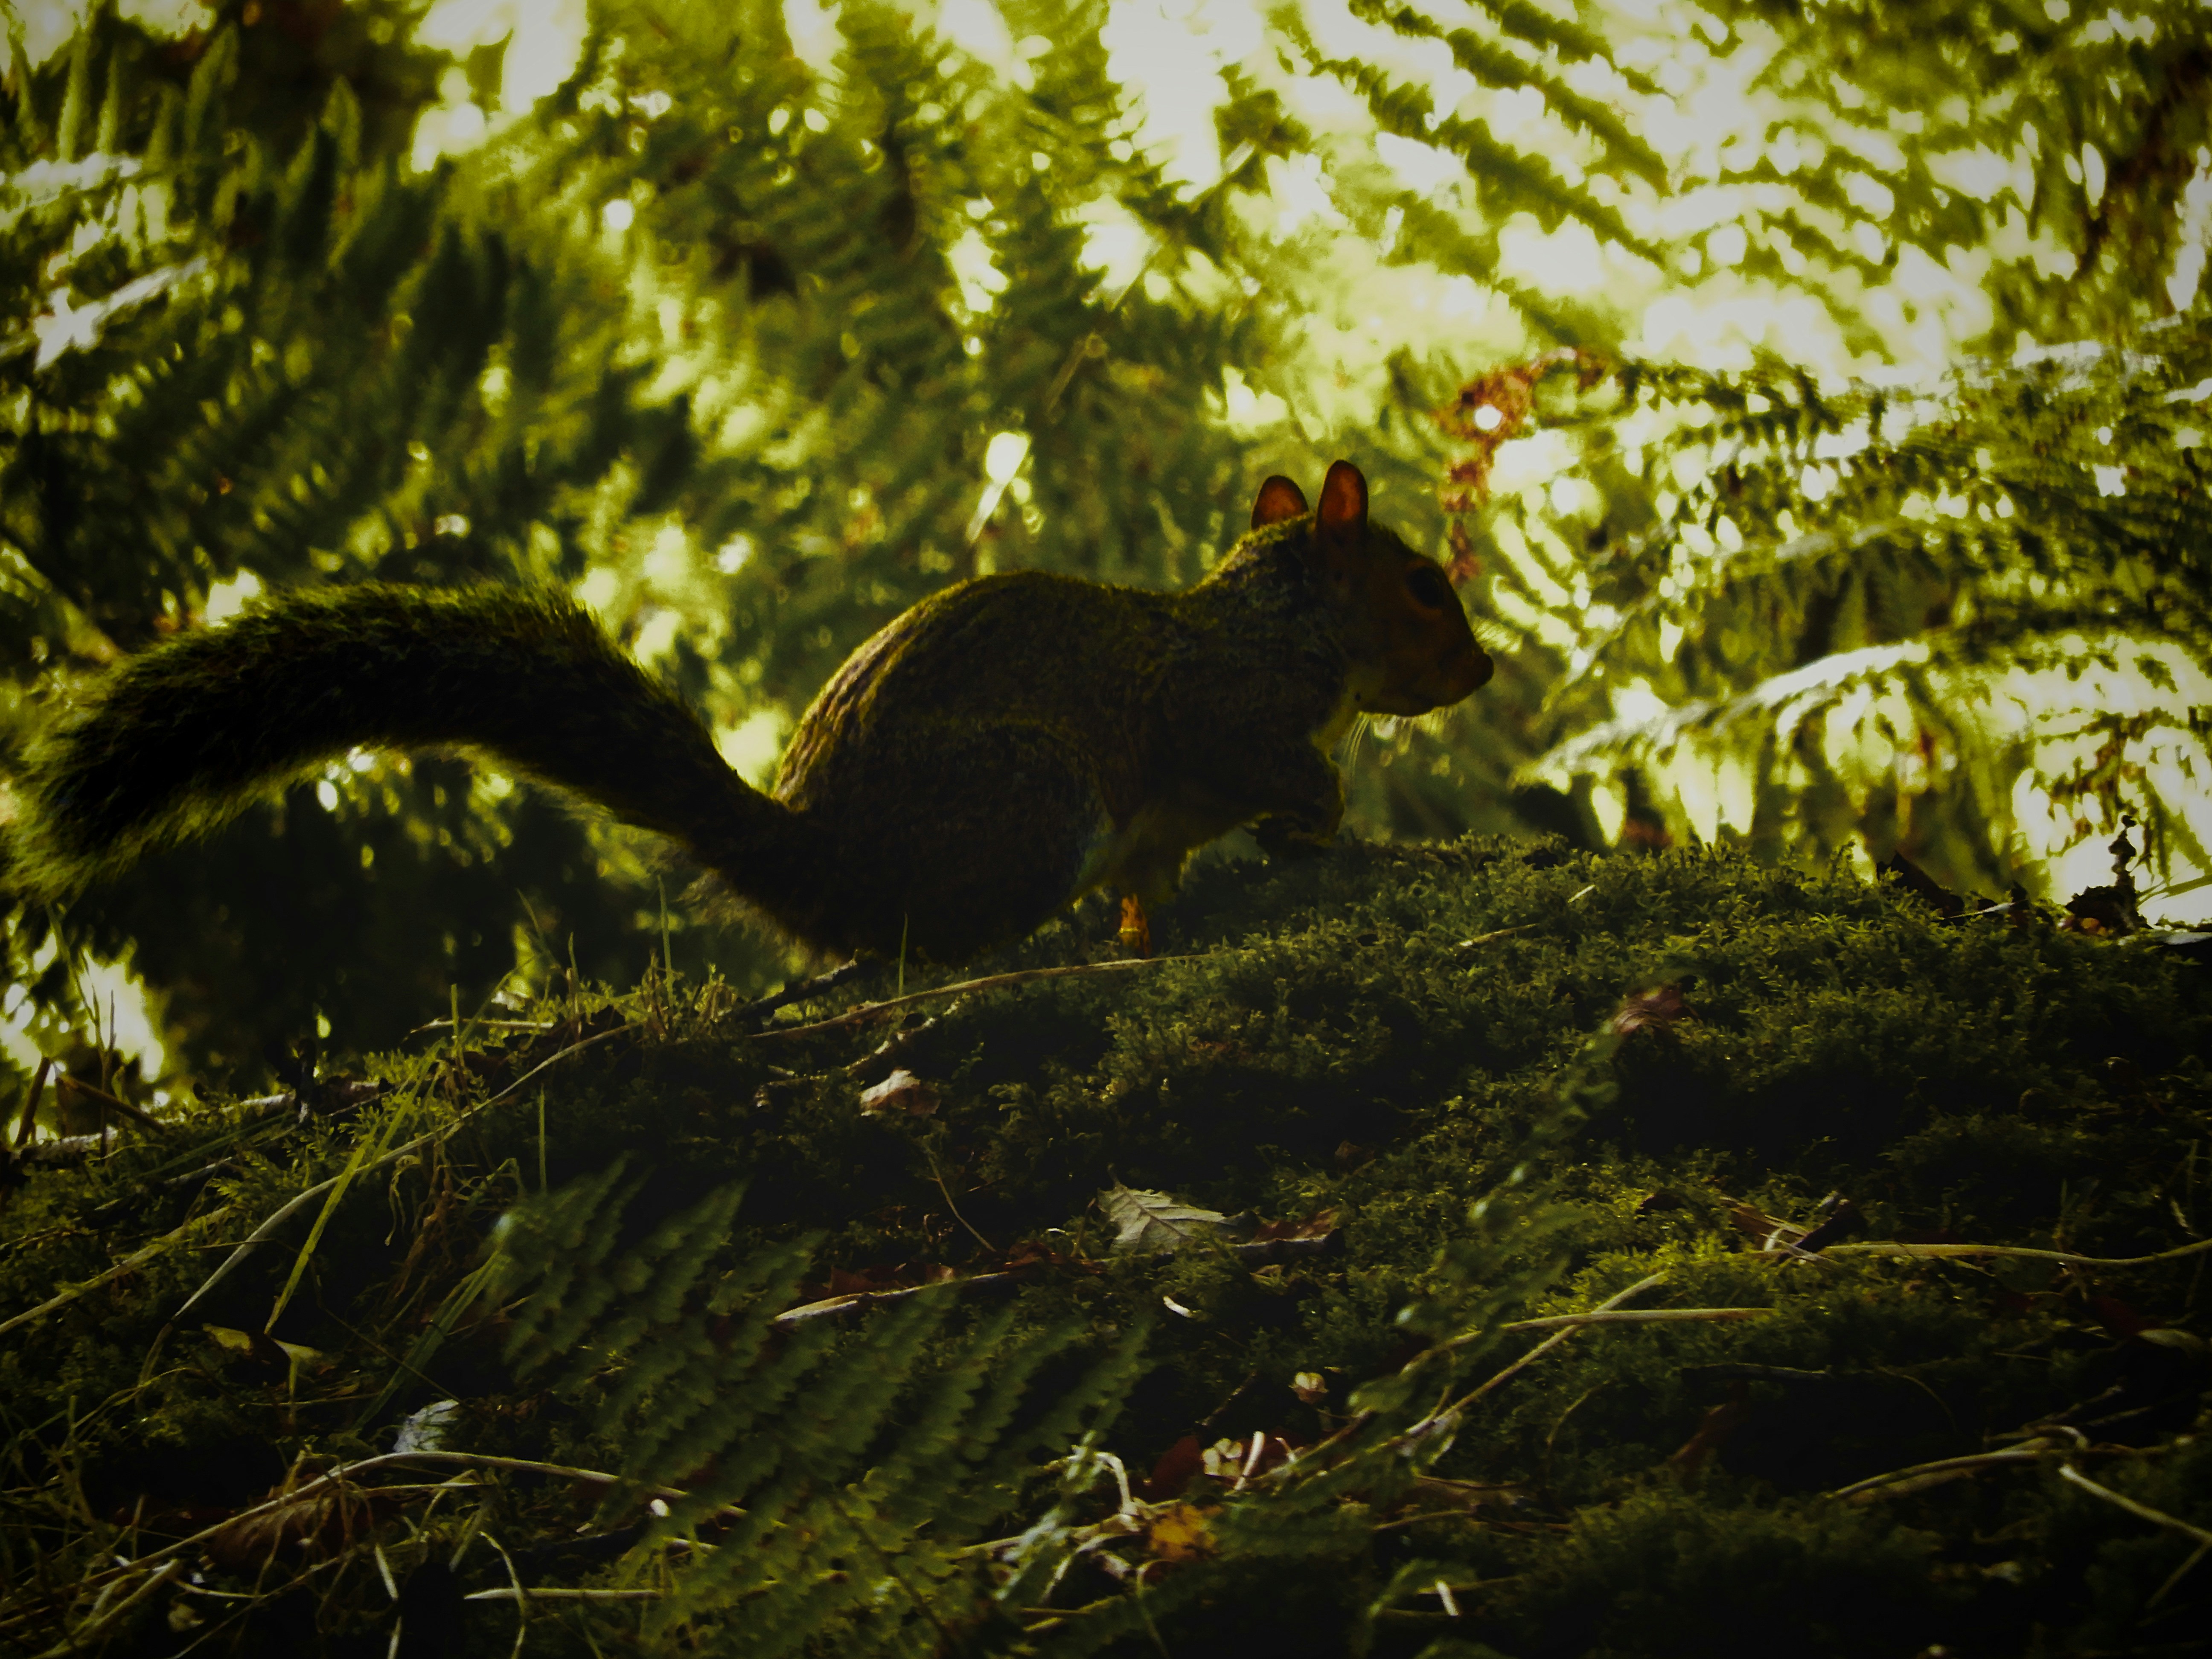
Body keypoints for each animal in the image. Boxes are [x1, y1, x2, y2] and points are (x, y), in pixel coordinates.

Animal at [8, 460, 1491, 962]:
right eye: (1426, 587)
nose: (1479, 677)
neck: (1282, 624)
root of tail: (812, 856)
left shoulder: (1164, 829)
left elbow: (1159, 878)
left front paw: (1158, 922)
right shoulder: (1223, 711)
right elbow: (1271, 767)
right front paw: (1325, 817)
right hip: (1028, 800)